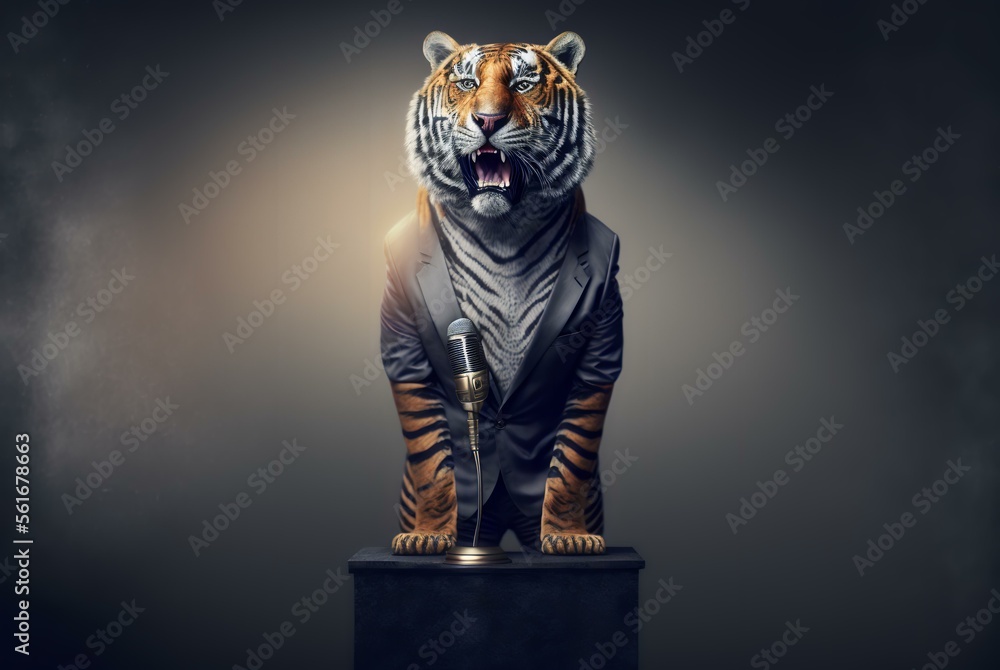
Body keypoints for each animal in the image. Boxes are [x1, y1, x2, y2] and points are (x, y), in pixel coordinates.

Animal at [382, 31, 622, 556]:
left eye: (524, 84)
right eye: (468, 83)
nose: (489, 120)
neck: (502, 230)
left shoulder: (599, 353)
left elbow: (572, 457)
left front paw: (569, 537)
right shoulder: (403, 345)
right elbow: (431, 458)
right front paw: (428, 535)